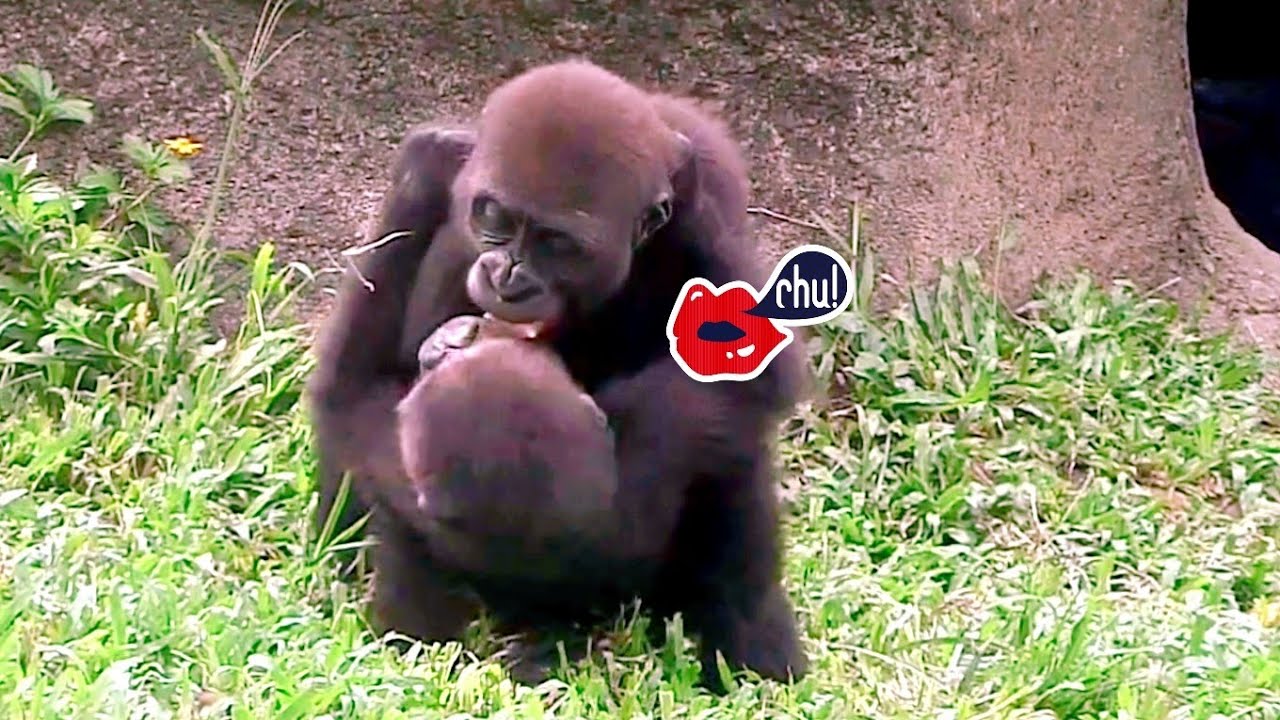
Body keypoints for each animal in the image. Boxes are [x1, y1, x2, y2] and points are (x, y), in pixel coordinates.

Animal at [307, 58, 811, 691]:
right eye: (495, 217)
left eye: (559, 244)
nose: (507, 275)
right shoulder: (441, 198)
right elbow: (360, 394)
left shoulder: (710, 199)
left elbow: (752, 378)